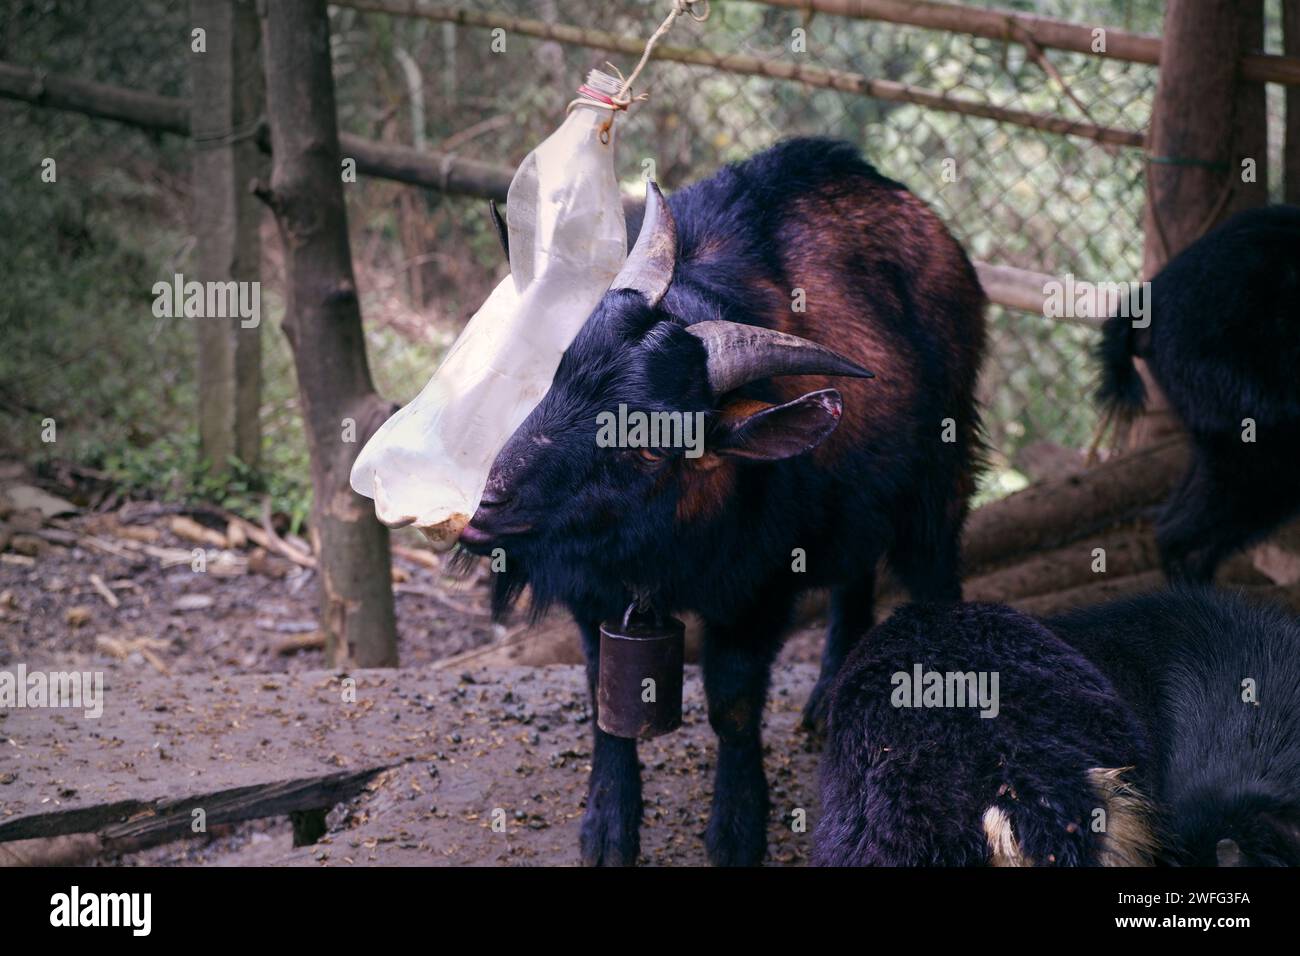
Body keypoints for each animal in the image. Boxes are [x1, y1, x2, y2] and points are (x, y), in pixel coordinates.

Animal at [457, 138, 986, 865]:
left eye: (650, 448)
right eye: (551, 372)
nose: (490, 504)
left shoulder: (757, 589)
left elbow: (732, 705)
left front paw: (737, 832)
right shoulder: (593, 589)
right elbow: (602, 693)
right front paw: (607, 827)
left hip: (939, 479)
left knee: (934, 579)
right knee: (853, 576)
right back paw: (827, 700)